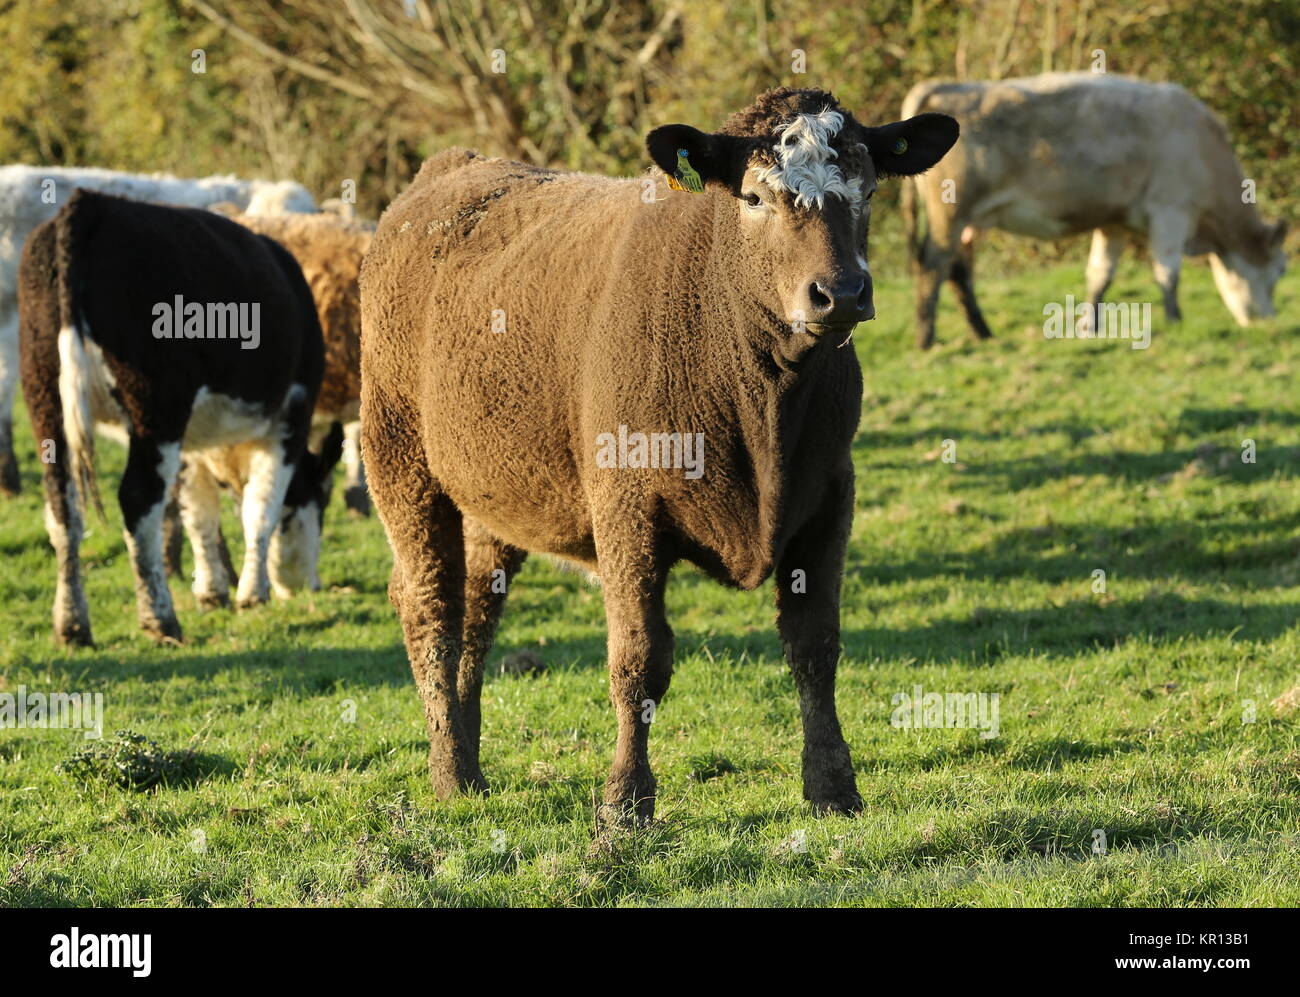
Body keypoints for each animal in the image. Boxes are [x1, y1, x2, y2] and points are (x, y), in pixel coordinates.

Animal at [19, 189, 336, 647]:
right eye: (322, 500)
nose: (308, 585)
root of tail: (91, 205)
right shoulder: (292, 413)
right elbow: (260, 507)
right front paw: (251, 592)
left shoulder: (191, 439)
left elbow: (198, 513)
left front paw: (212, 591)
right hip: (155, 407)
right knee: (138, 501)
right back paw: (160, 618)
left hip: (46, 402)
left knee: (63, 509)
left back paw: (72, 625)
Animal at [360, 87, 958, 825]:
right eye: (754, 196)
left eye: (868, 188)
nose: (840, 293)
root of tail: (450, 168)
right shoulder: (627, 504)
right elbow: (639, 659)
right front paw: (624, 804)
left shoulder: (828, 495)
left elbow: (815, 644)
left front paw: (833, 786)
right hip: (400, 458)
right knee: (430, 605)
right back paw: (448, 771)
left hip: (494, 491)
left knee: (476, 605)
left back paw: (468, 763)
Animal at [901, 73, 1288, 348]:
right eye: (1281, 271)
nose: (1269, 321)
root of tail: (948, 83)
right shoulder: (1170, 210)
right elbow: (1167, 272)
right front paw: (1175, 320)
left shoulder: (1115, 221)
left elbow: (1100, 275)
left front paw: (1090, 326)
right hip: (951, 214)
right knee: (933, 266)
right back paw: (925, 339)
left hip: (967, 222)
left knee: (958, 272)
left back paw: (982, 333)